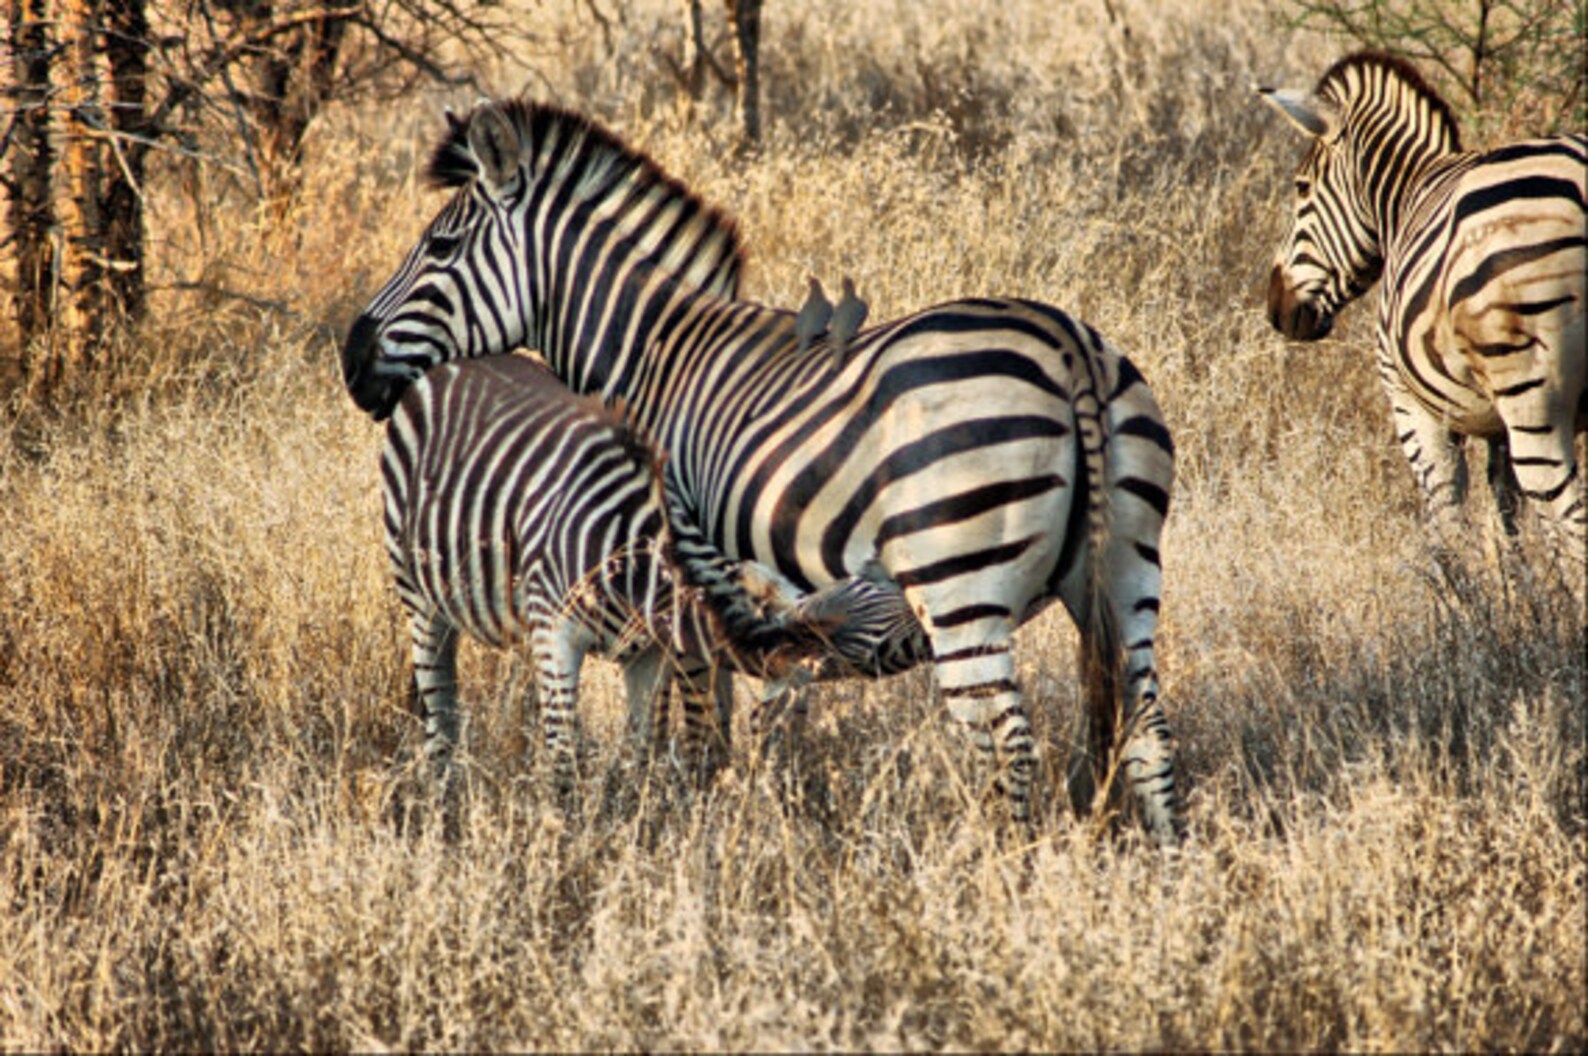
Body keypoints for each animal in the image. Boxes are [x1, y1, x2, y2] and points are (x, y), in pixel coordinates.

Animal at [384, 351, 908, 799]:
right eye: (892, 639)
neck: (639, 571)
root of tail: (454, 363)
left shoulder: (648, 655)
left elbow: (643, 752)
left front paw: (639, 823)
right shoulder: (557, 635)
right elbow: (565, 761)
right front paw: (565, 841)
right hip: (418, 597)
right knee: (440, 703)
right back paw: (444, 797)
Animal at [1258, 51, 1587, 597]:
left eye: (1301, 189)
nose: (1276, 311)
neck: (1408, 193)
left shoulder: (1411, 405)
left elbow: (1447, 520)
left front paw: (1461, 606)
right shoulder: (1497, 427)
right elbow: (1506, 524)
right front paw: (1521, 606)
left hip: (1529, 394)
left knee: (1569, 524)